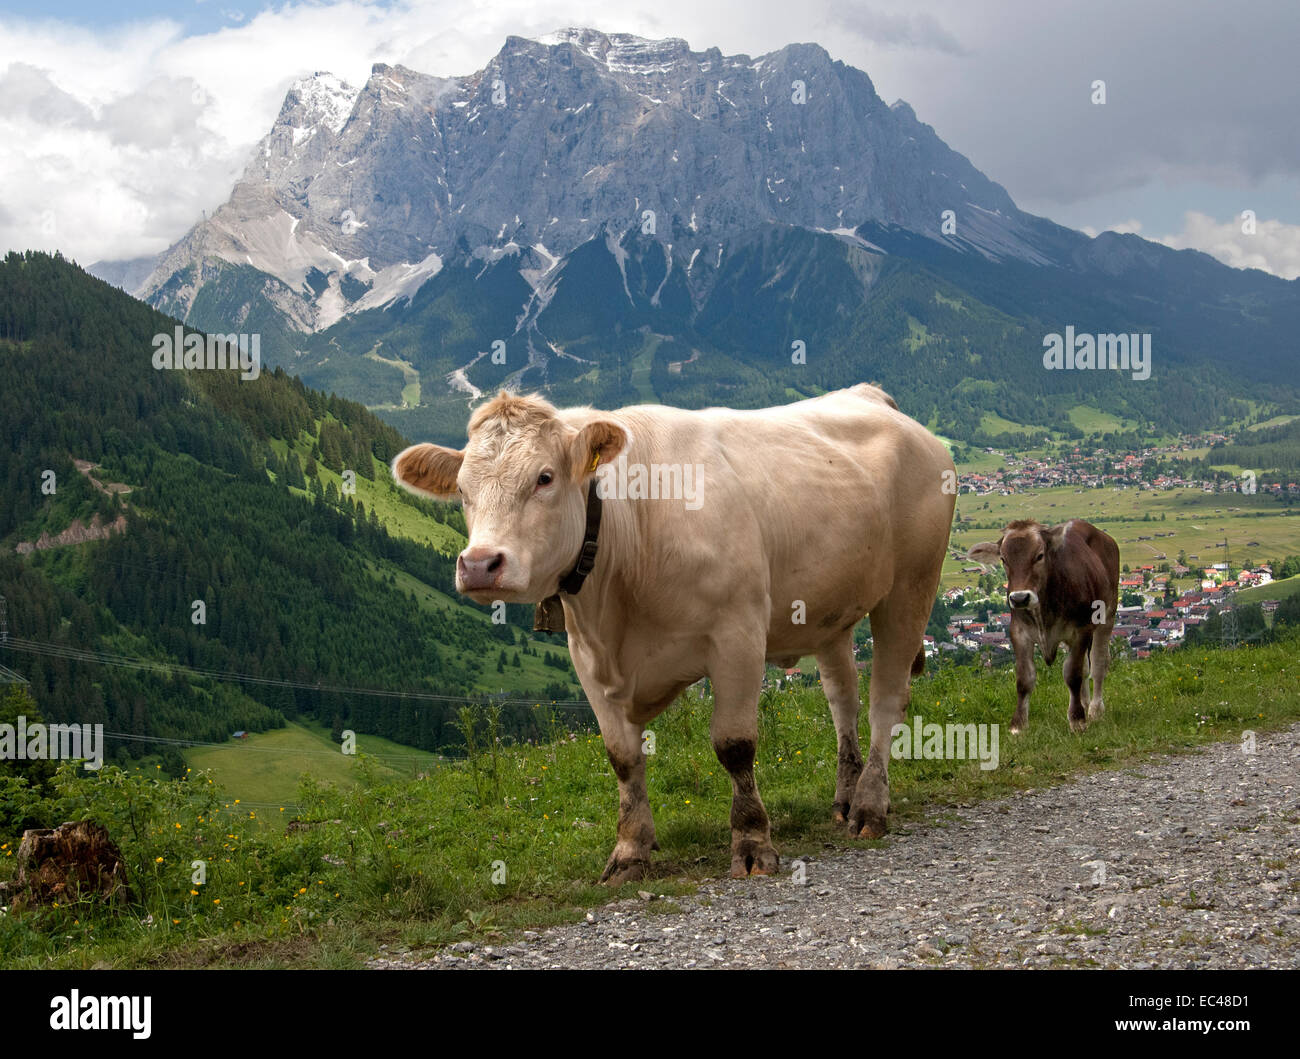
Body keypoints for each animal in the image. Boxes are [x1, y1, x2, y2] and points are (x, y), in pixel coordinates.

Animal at [391, 384, 956, 883]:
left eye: (544, 477)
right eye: (462, 490)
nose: (479, 565)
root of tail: (872, 397)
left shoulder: (737, 635)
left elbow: (734, 745)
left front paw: (752, 844)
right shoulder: (586, 657)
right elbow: (622, 759)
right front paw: (629, 852)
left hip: (911, 586)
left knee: (886, 699)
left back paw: (869, 806)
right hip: (830, 612)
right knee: (843, 698)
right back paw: (843, 797)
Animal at [966, 519, 1120, 734]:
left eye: (1039, 555)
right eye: (1003, 559)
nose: (1019, 598)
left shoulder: (1081, 630)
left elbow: (1072, 674)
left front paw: (1077, 719)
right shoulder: (1019, 632)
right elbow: (1024, 679)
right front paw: (1018, 725)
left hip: (1107, 616)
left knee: (1098, 664)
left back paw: (1095, 710)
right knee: (1085, 667)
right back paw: (1085, 703)